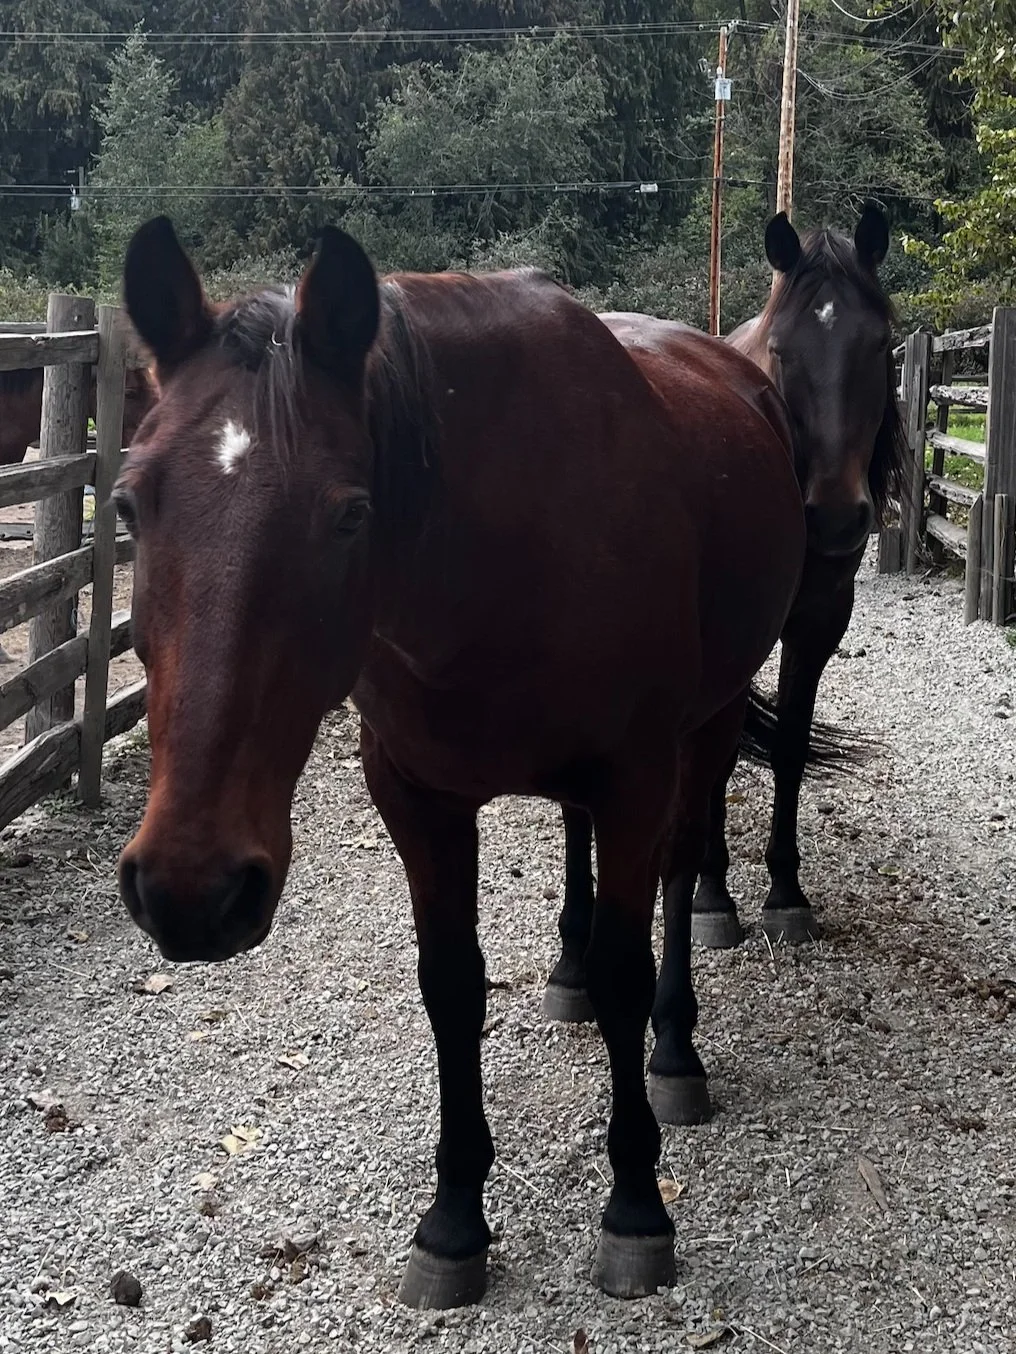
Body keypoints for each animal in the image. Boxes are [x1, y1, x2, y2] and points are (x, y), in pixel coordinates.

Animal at [114, 216, 808, 1309]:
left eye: (350, 514)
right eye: (130, 505)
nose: (193, 888)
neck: (501, 552)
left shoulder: (635, 777)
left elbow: (627, 965)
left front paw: (635, 1205)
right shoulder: (418, 795)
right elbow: (450, 985)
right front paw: (451, 1220)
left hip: (710, 722)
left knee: (678, 877)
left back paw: (673, 1048)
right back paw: (568, 974)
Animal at [544, 203, 906, 1057]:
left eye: (879, 345)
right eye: (784, 350)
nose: (835, 518)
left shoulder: (816, 621)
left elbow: (790, 749)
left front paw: (781, 889)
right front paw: (716, 895)